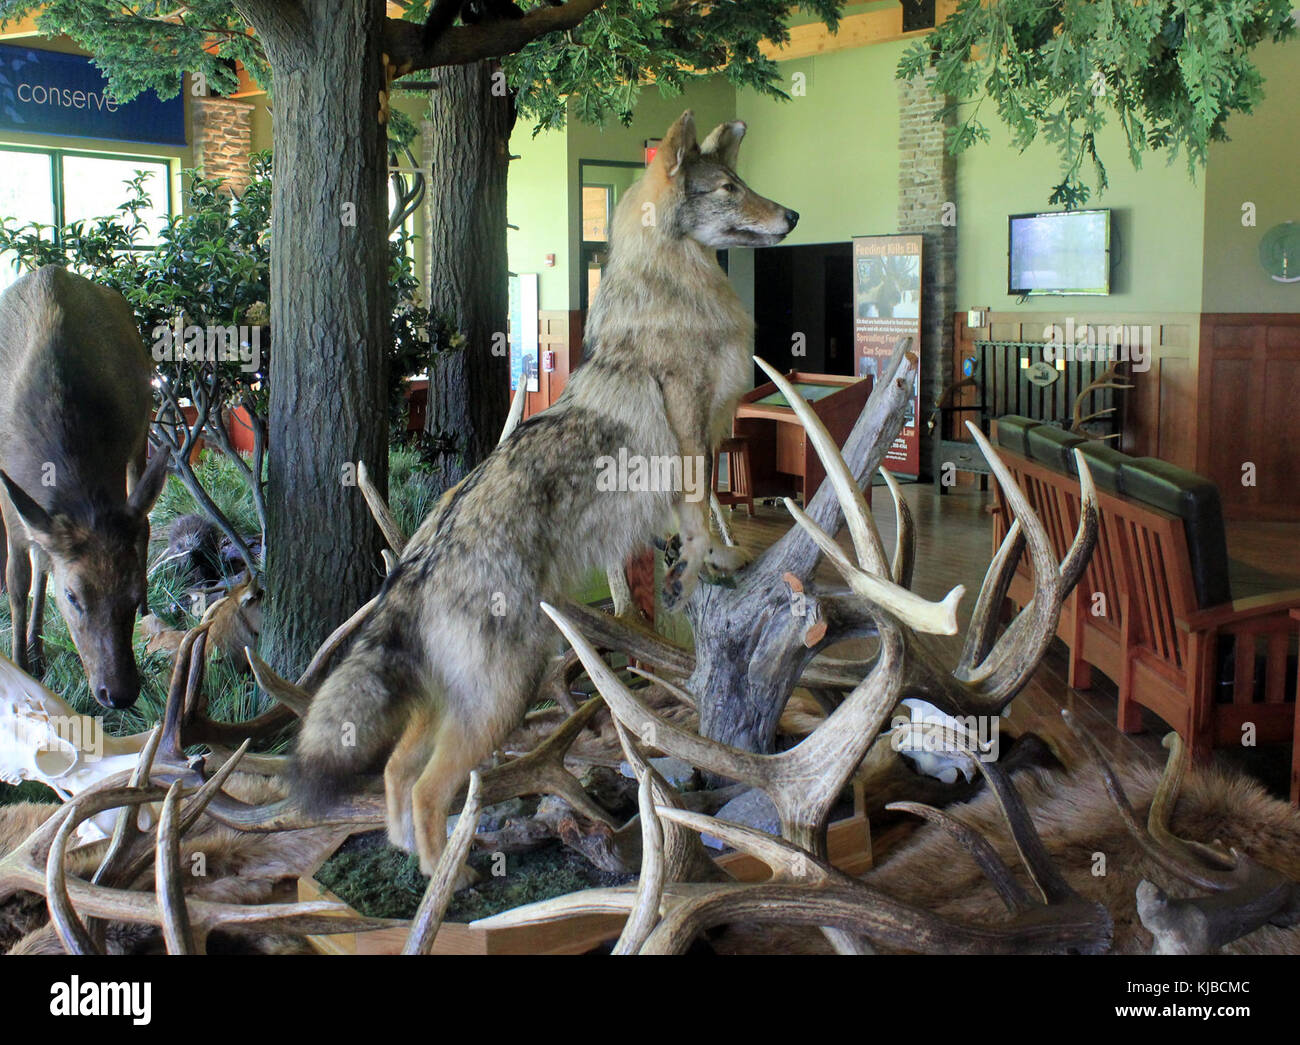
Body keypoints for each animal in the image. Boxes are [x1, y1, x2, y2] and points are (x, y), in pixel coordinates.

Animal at [291, 111, 799, 873]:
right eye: (730, 189)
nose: (792, 214)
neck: (676, 291)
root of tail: (416, 559)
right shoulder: (687, 429)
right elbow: (698, 508)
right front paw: (715, 559)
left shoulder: (707, 434)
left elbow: (697, 515)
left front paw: (694, 568)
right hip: (504, 694)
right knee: (429, 786)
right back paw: (453, 876)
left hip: (456, 702)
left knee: (397, 773)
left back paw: (421, 859)